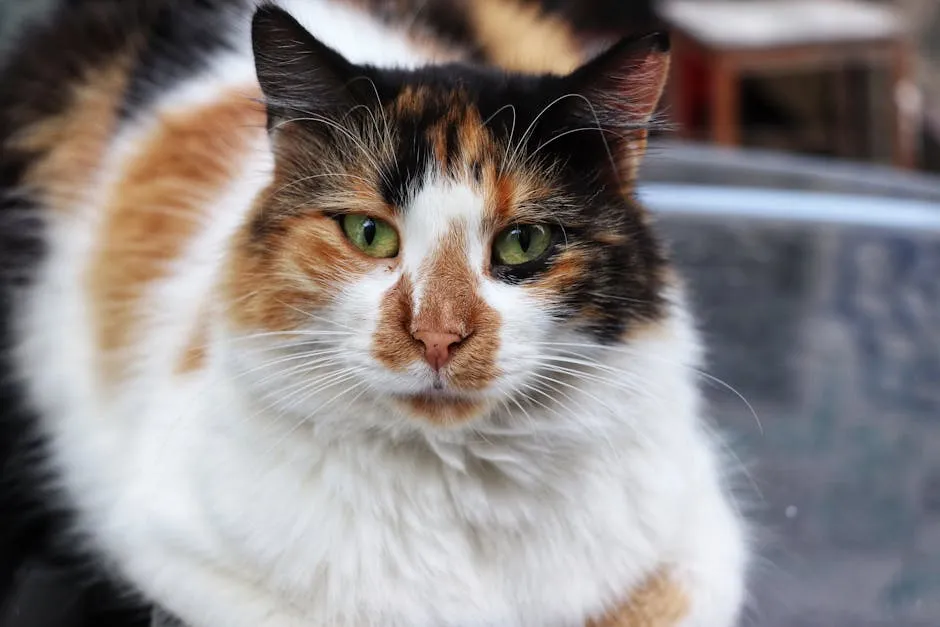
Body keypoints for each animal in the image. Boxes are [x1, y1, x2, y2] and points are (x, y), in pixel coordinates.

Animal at [0, 1, 748, 627]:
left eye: (523, 243)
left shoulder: (702, 537)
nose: (438, 336)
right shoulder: (169, 543)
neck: (456, 480)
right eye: (368, 233)